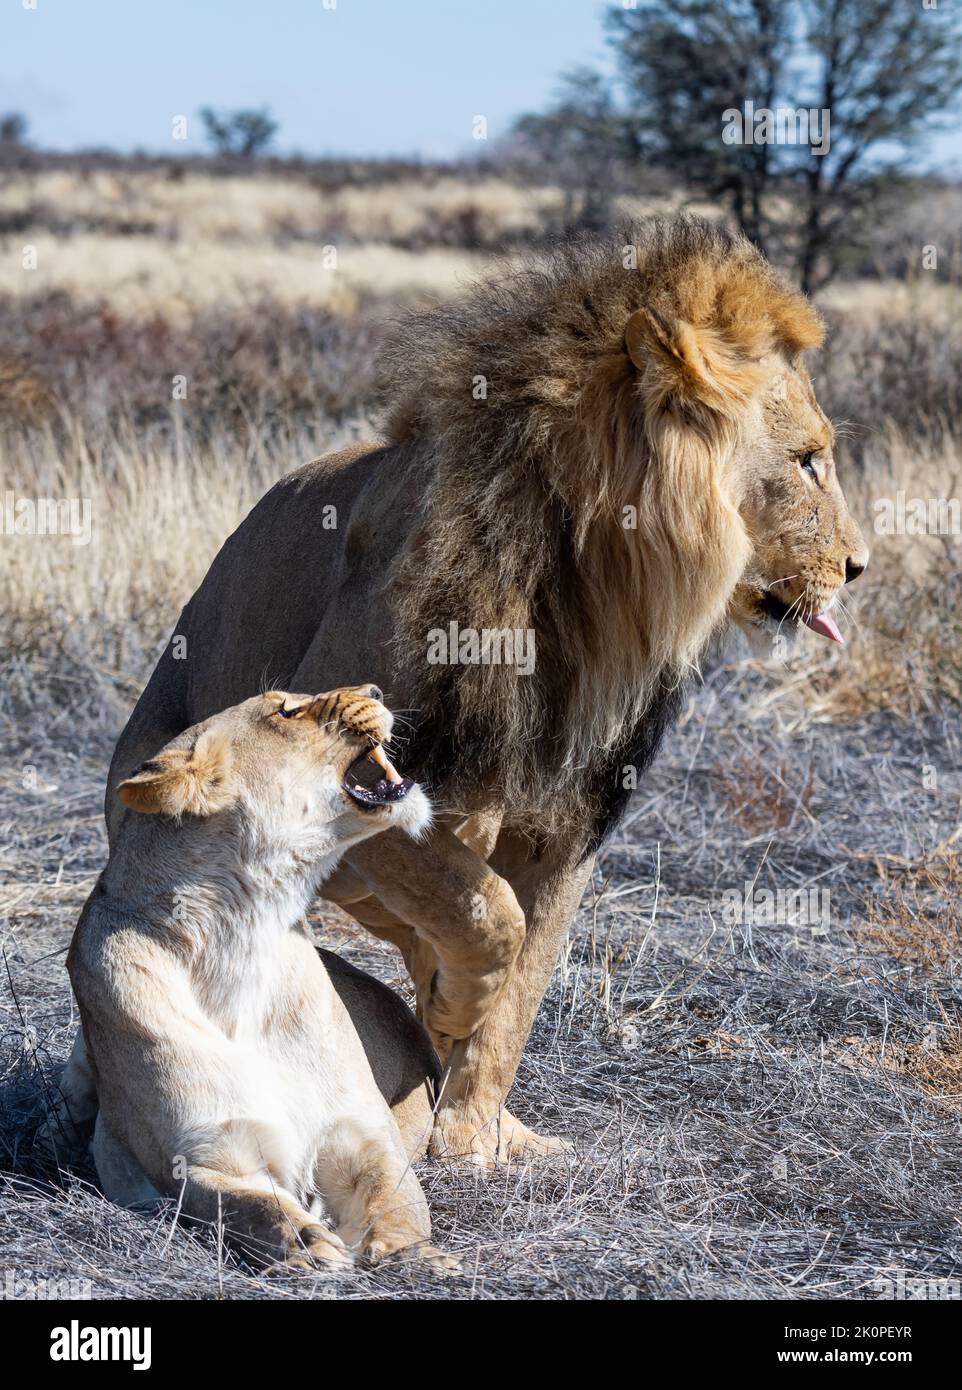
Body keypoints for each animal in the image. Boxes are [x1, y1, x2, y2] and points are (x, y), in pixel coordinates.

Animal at [55, 686, 458, 1271]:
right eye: (286, 710)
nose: (376, 691)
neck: (245, 935)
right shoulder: (201, 1156)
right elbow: (247, 1204)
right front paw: (308, 1243)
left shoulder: (362, 1129)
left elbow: (398, 1193)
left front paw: (413, 1252)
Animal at [95, 216, 866, 1166]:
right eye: (808, 462)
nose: (858, 567)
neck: (595, 600)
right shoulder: (365, 778)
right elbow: (490, 914)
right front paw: (456, 1007)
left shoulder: (570, 824)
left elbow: (525, 976)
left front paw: (478, 1133)